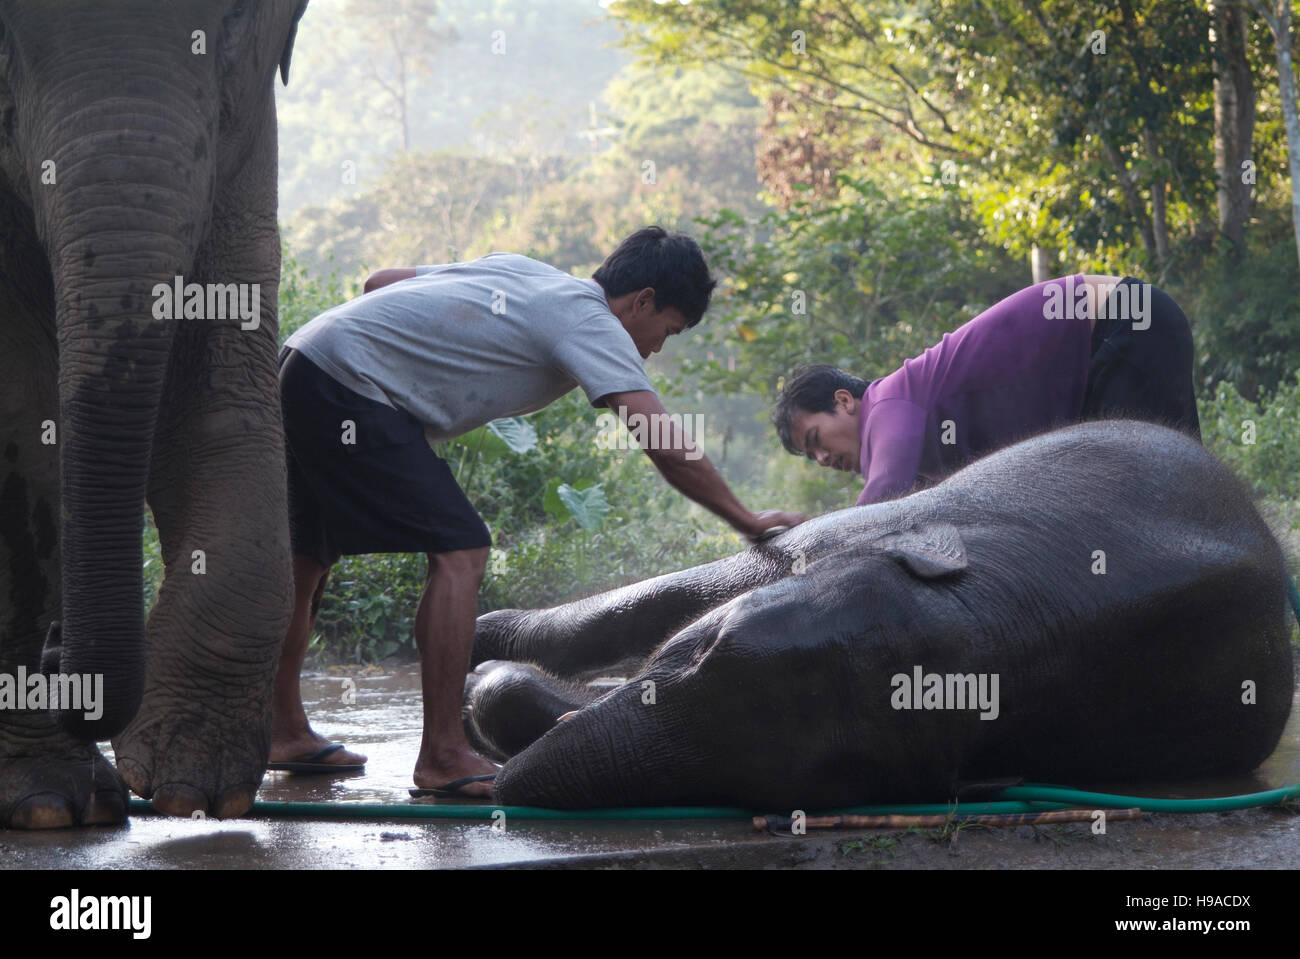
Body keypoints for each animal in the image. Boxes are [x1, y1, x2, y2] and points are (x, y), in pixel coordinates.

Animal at [0, 0, 308, 827]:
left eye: (233, 18)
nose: (59, 650)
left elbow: (214, 399)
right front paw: (44, 804)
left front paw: (192, 787)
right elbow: (18, 425)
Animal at [467, 420, 1295, 809]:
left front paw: (492, 686)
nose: (502, 784)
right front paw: (485, 650)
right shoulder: (863, 529)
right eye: (702, 650)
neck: (993, 618)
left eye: (797, 787)